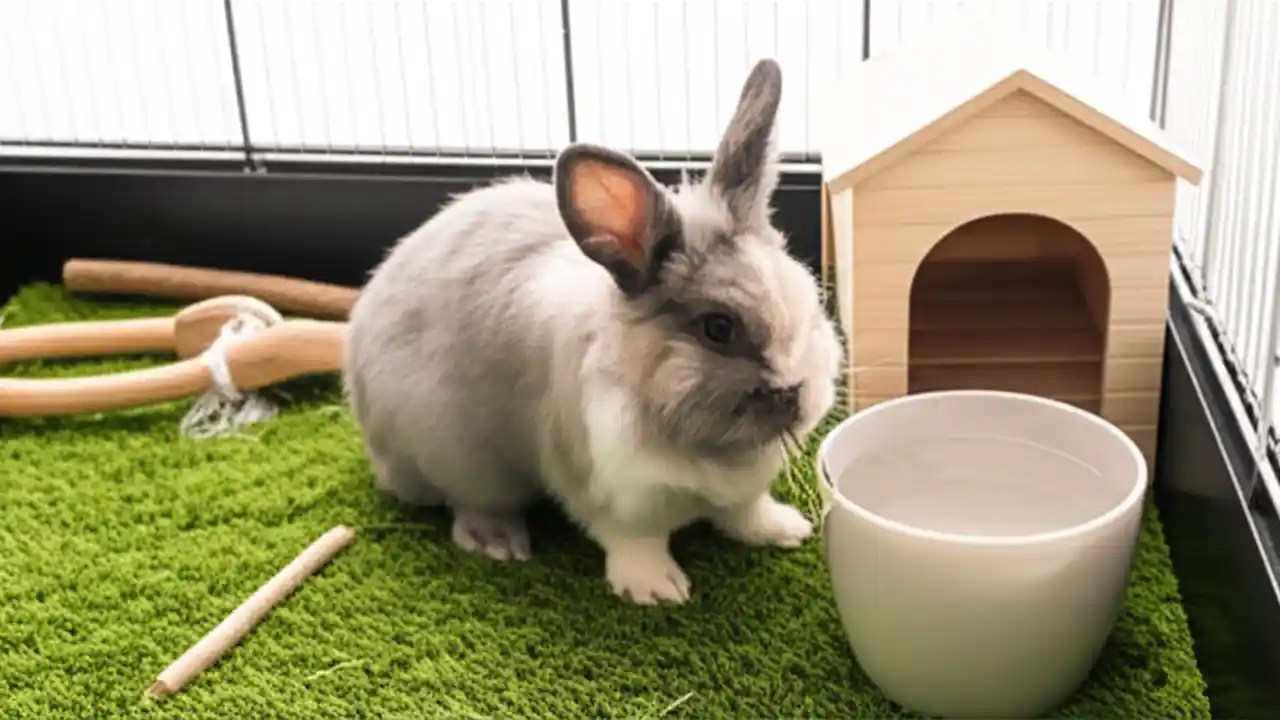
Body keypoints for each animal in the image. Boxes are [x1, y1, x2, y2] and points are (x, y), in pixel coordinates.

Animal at [343, 58, 843, 605]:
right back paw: (497, 540)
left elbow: (744, 512)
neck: (708, 446)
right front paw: (657, 590)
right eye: (718, 328)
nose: (798, 393)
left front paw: (785, 530)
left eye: (810, 299)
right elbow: (634, 540)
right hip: (457, 458)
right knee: (466, 501)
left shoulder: (741, 493)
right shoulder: (611, 492)